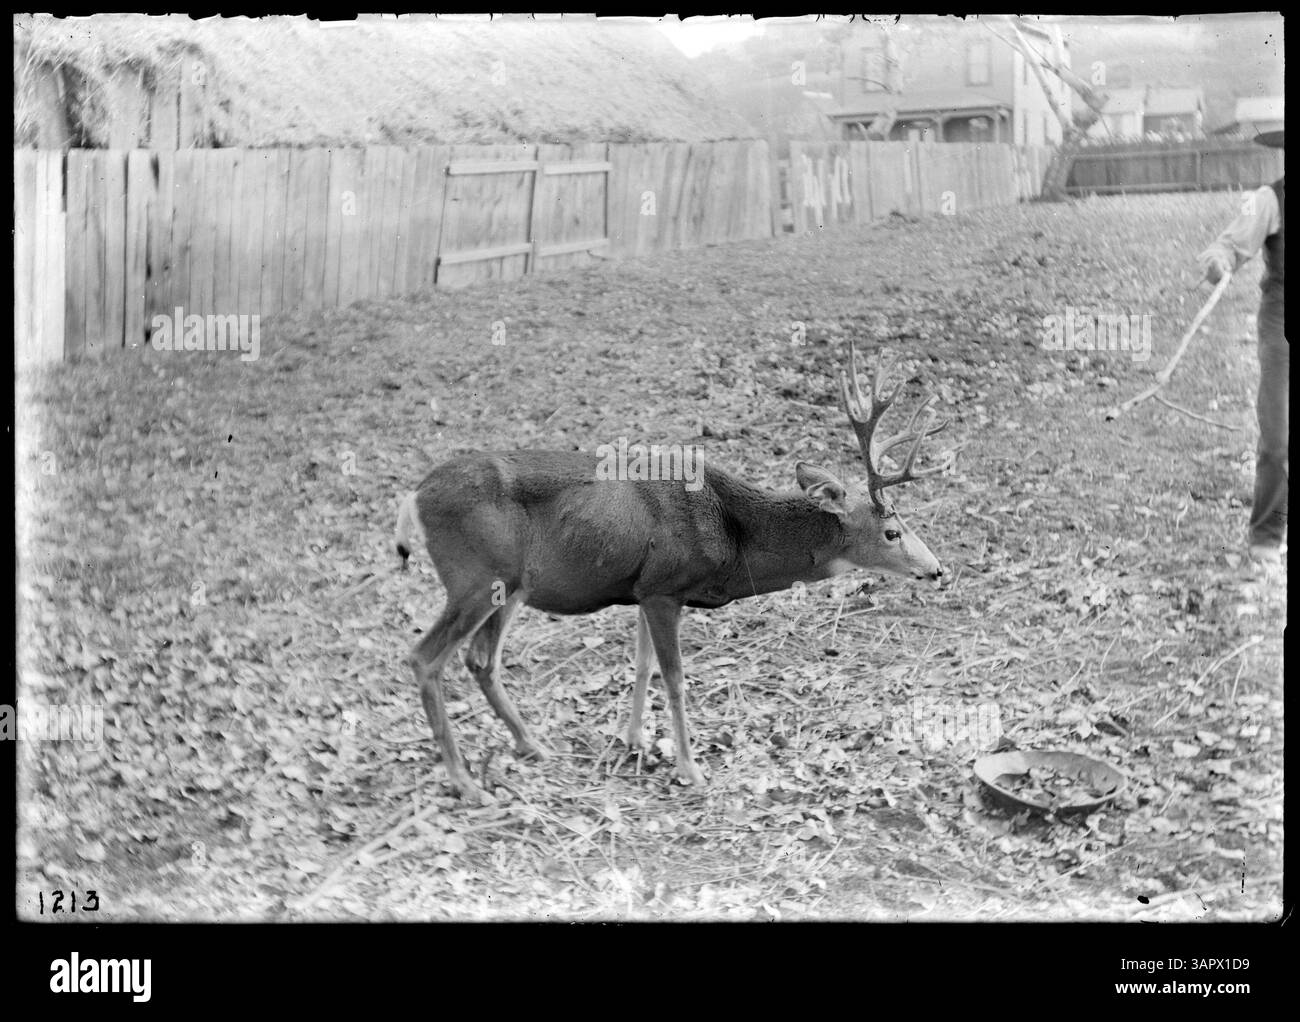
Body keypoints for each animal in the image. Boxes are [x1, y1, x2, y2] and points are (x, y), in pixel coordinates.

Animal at [395, 342, 950, 802]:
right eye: (892, 531)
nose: (938, 570)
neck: (732, 535)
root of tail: (415, 497)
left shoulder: (645, 588)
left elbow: (642, 665)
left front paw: (633, 738)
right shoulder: (665, 589)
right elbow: (677, 678)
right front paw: (690, 768)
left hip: (510, 587)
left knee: (481, 659)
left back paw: (532, 745)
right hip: (473, 576)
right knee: (425, 658)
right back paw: (466, 783)